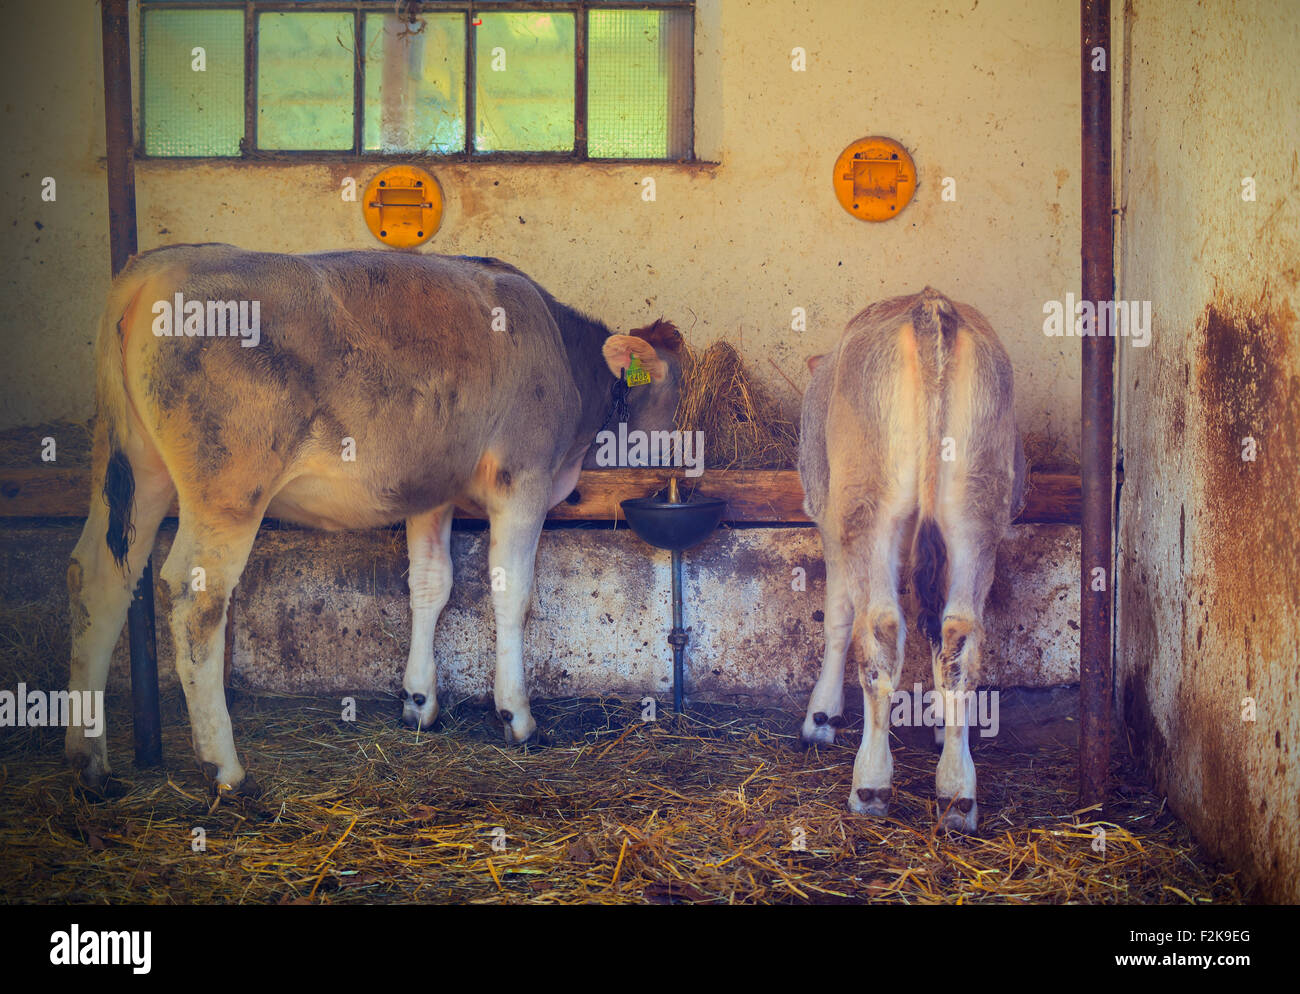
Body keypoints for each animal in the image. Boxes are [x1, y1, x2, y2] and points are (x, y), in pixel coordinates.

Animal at [64, 244, 684, 796]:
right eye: (677, 388)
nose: (683, 454)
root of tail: (163, 262)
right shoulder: (523, 478)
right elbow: (512, 594)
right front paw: (517, 717)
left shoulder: (430, 489)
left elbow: (431, 584)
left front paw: (420, 702)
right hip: (228, 486)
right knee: (196, 599)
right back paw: (225, 770)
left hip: (135, 466)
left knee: (98, 579)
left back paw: (89, 762)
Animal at [797, 287, 1024, 832]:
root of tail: (930, 305)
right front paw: (941, 726)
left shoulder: (831, 526)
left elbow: (837, 620)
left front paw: (820, 717)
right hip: (976, 513)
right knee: (959, 636)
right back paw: (957, 791)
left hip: (866, 510)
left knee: (878, 631)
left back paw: (870, 784)